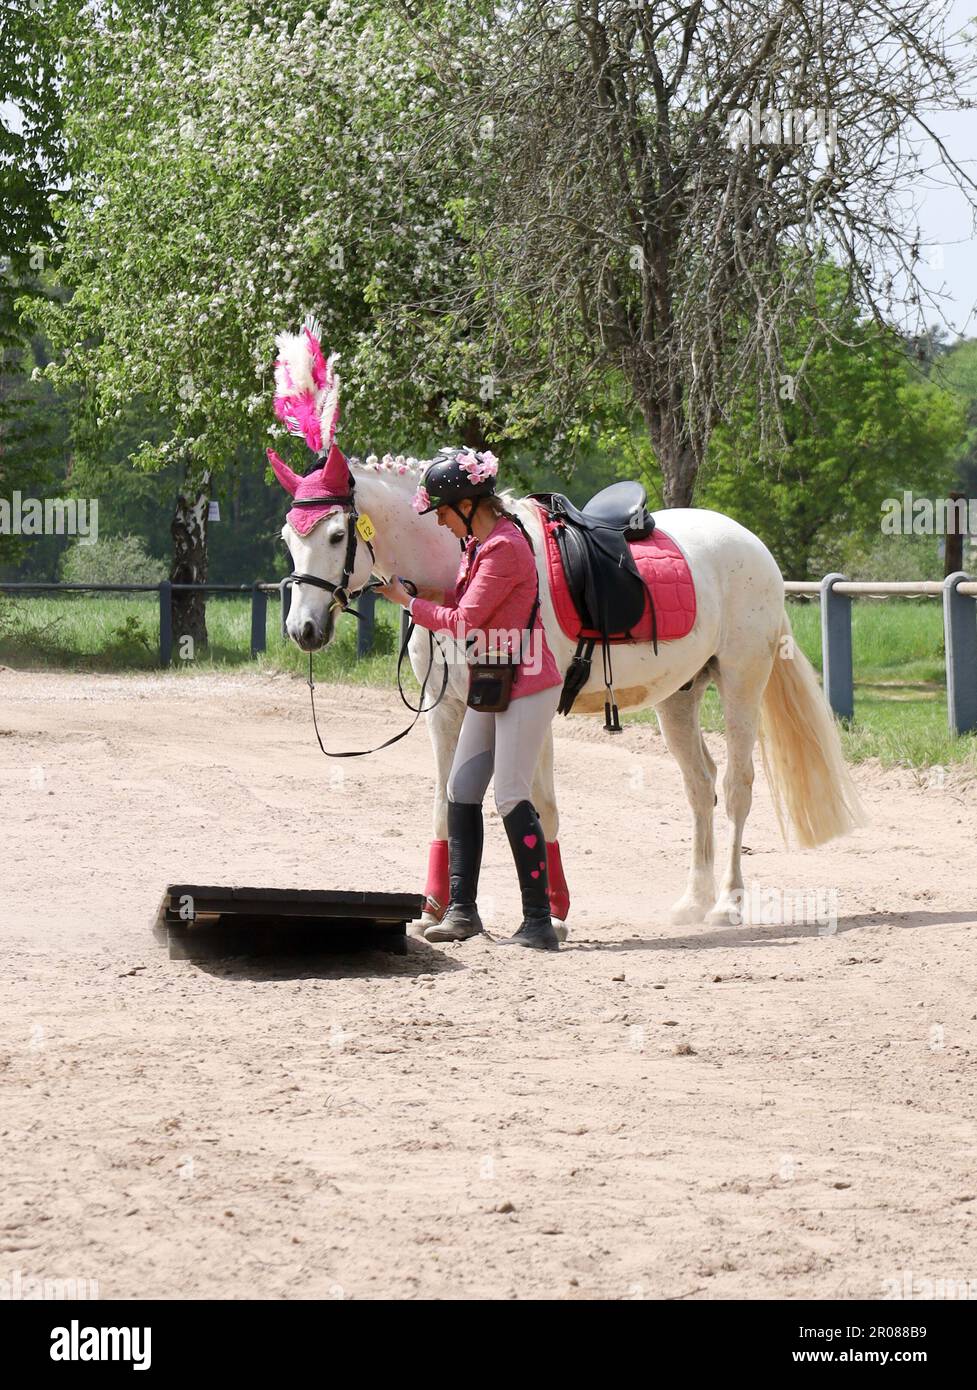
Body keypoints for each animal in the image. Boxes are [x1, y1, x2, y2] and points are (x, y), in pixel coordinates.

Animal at [272, 448, 866, 938]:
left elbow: (541, 808)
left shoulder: (527, 712)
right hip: (678, 696)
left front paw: (553, 913)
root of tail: (751, 545)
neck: (456, 576)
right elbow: (447, 805)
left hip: (742, 680)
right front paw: (435, 911)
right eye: (288, 538)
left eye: (335, 536)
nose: (303, 629)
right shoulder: (450, 712)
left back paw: (726, 904)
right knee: (700, 787)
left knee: (737, 787)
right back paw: (691, 902)